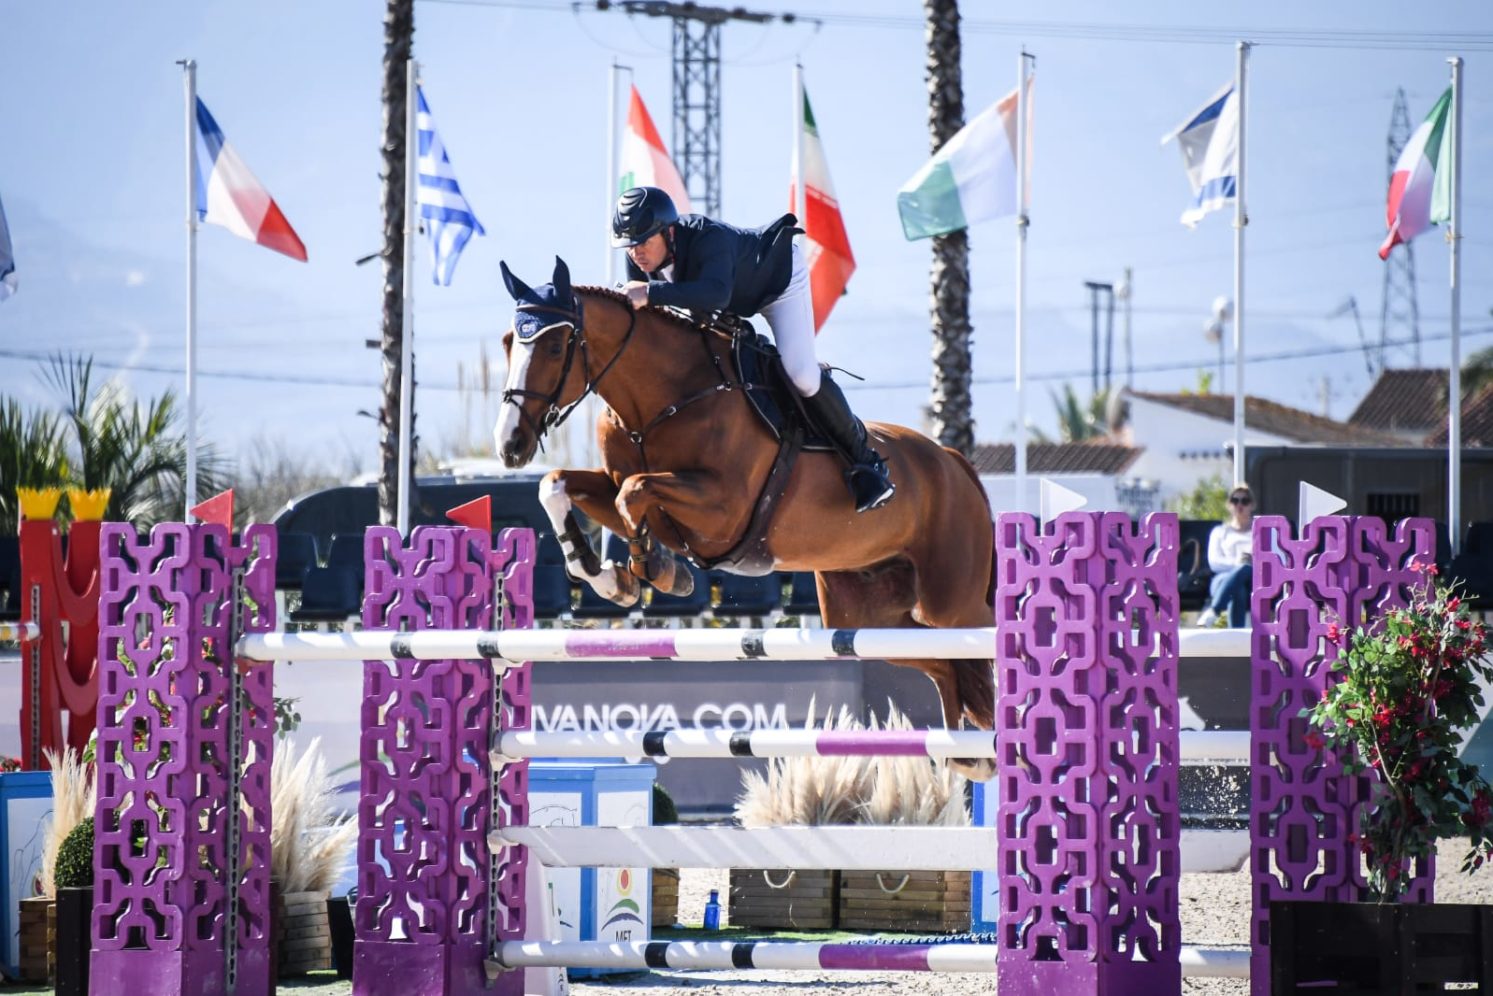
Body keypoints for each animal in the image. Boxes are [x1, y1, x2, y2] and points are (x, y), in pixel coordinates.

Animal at [493, 257, 996, 778]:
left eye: (555, 345)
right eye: (509, 342)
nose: (509, 445)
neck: (662, 400)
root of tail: (953, 461)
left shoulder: (722, 509)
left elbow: (635, 495)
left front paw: (656, 571)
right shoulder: (616, 484)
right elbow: (559, 486)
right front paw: (613, 577)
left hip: (952, 601)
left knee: (981, 638)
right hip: (866, 617)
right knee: (943, 659)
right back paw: (967, 755)